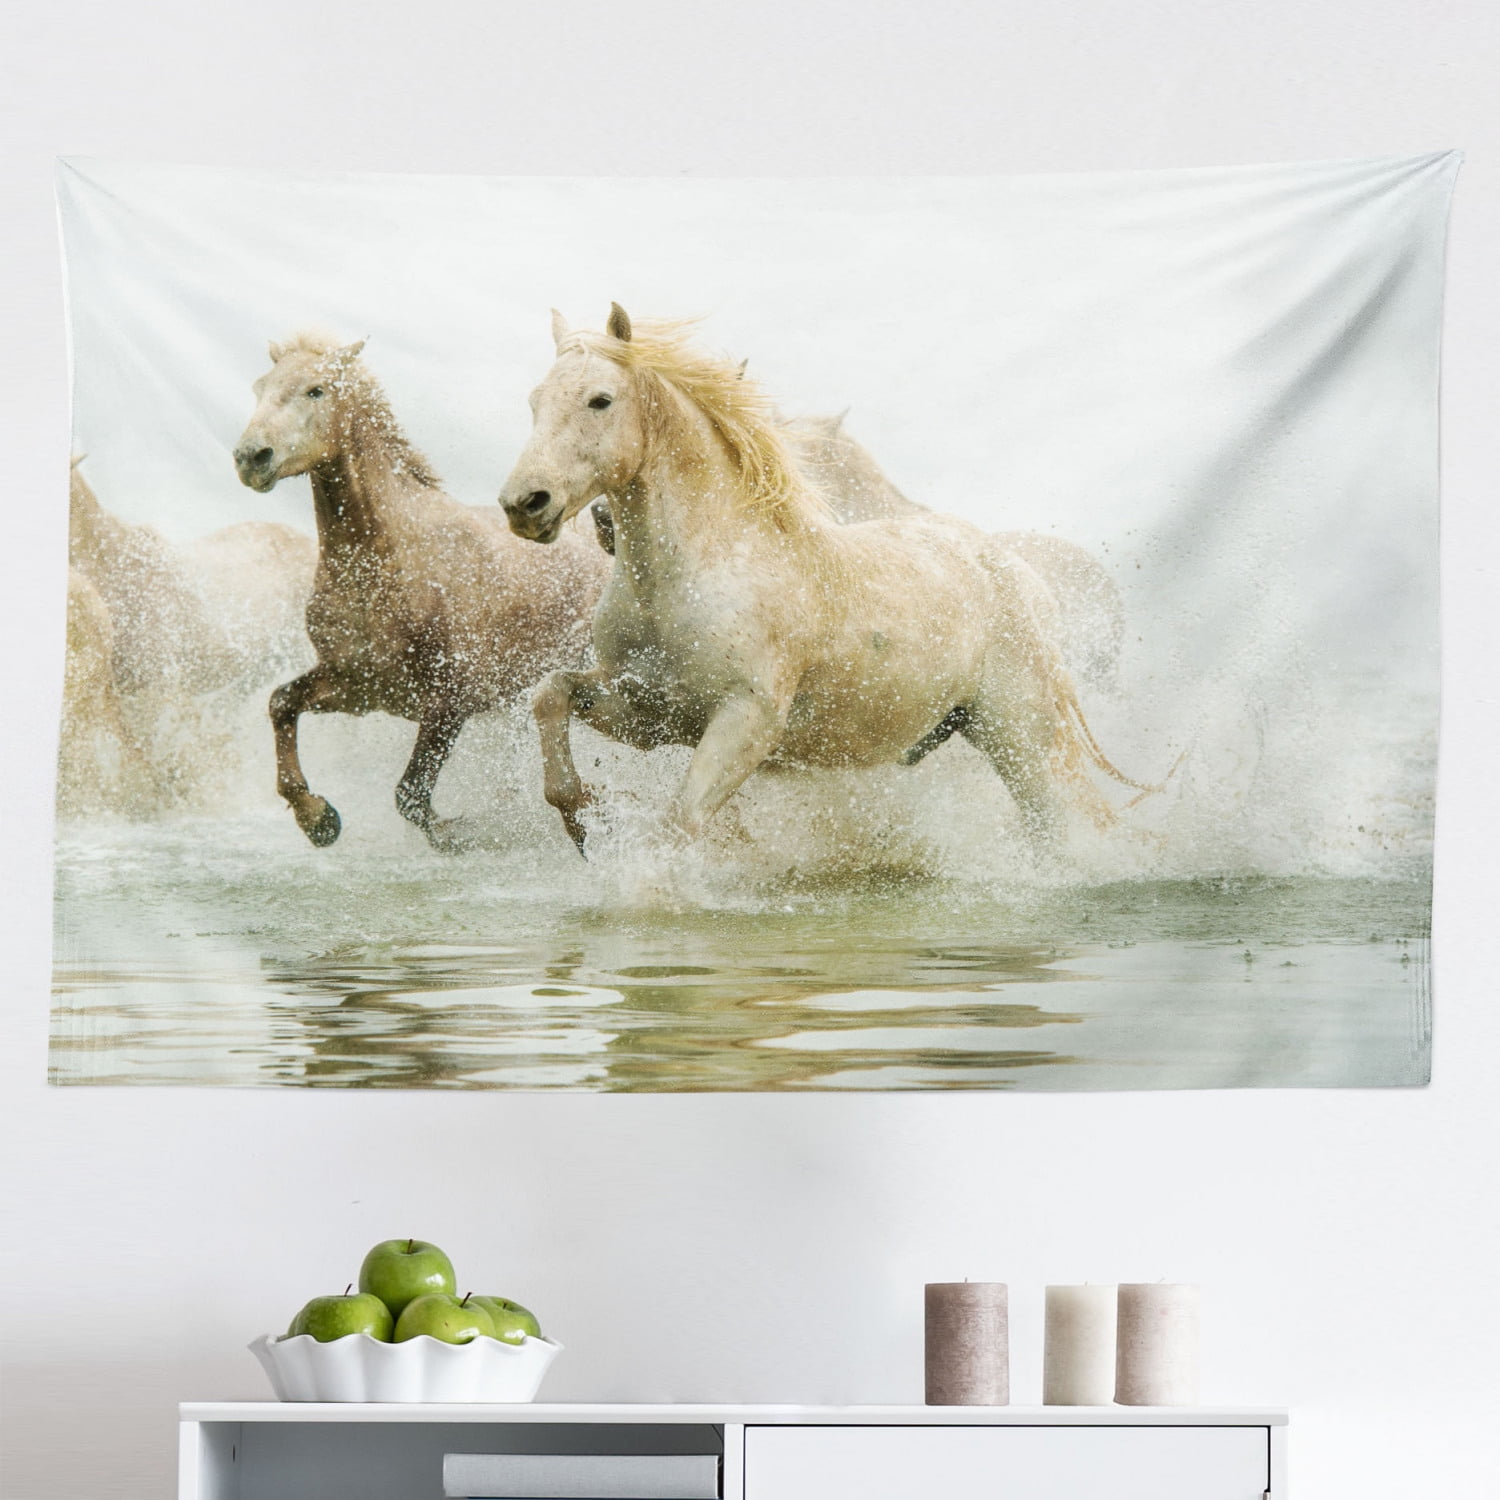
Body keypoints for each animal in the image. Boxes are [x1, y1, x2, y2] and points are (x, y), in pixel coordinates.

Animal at [233, 333, 608, 848]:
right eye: (260, 386)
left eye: (316, 390)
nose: (251, 458)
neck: (382, 569)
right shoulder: (359, 687)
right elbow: (281, 703)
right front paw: (318, 819)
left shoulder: (450, 703)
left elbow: (410, 794)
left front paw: (462, 837)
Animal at [498, 306, 1150, 855]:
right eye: (533, 402)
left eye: (600, 400)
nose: (525, 504)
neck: (693, 575)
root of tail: (1016, 572)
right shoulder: (648, 710)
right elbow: (551, 695)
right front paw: (583, 821)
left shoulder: (746, 721)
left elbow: (680, 822)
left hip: (1020, 739)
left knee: (1058, 826)